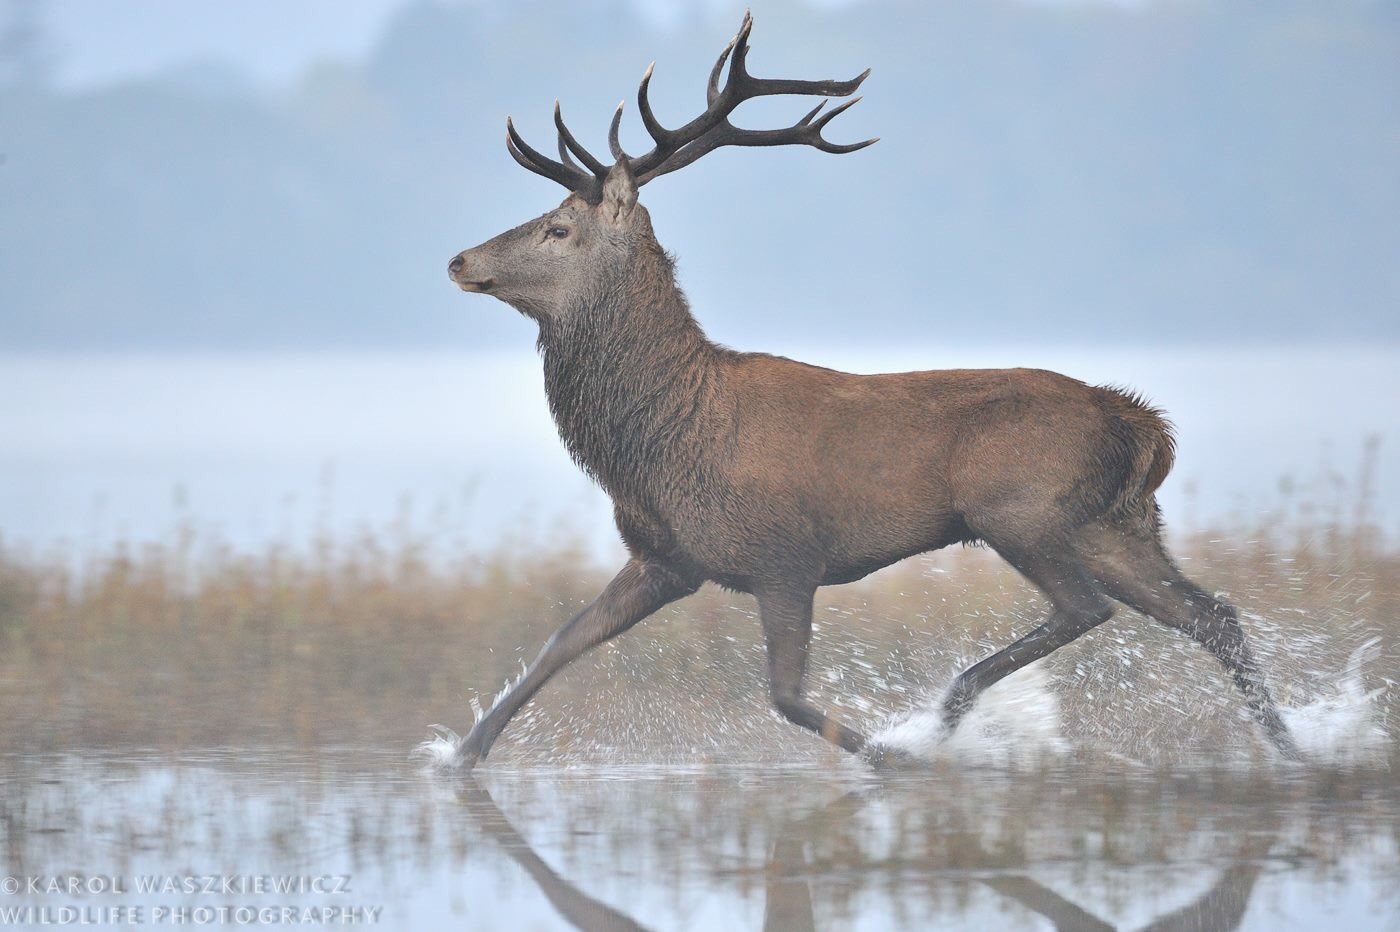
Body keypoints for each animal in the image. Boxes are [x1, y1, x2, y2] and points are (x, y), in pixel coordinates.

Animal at [432, 12, 1301, 769]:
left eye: (558, 228)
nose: (460, 260)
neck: (663, 442)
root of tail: (1144, 424)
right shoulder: (665, 559)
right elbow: (560, 642)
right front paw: (460, 755)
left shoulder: (784, 555)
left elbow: (784, 696)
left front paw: (894, 754)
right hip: (1115, 523)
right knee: (1212, 616)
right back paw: (1292, 748)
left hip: (1019, 509)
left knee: (1089, 609)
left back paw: (947, 713)